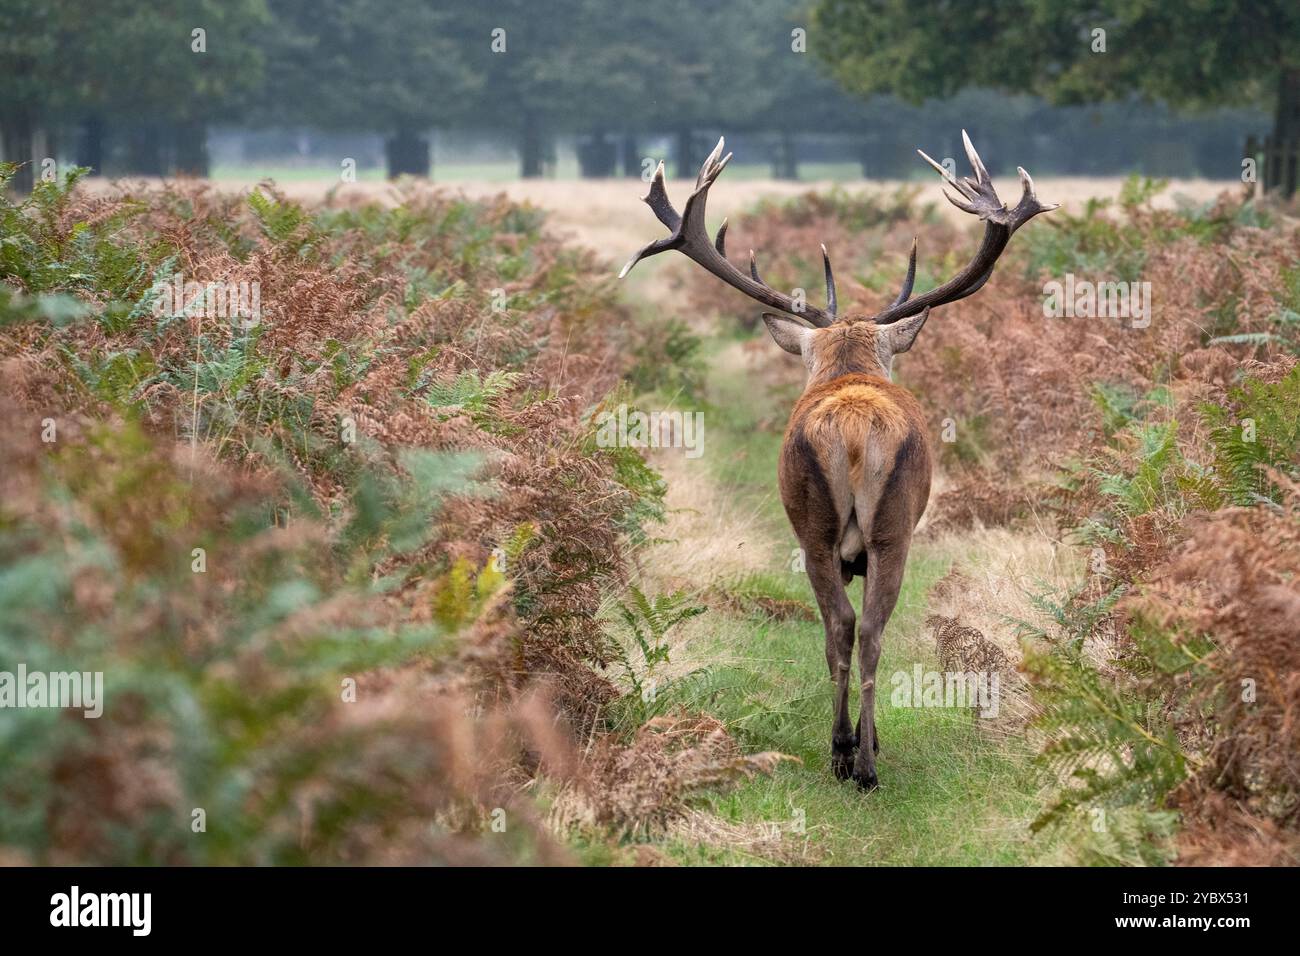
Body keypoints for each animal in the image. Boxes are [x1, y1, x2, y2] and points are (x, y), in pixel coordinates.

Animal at [620, 131, 1056, 790]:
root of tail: (850, 429)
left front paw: (855, 745)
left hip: (822, 527)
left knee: (846, 625)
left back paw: (850, 754)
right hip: (885, 528)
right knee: (864, 627)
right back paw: (859, 756)